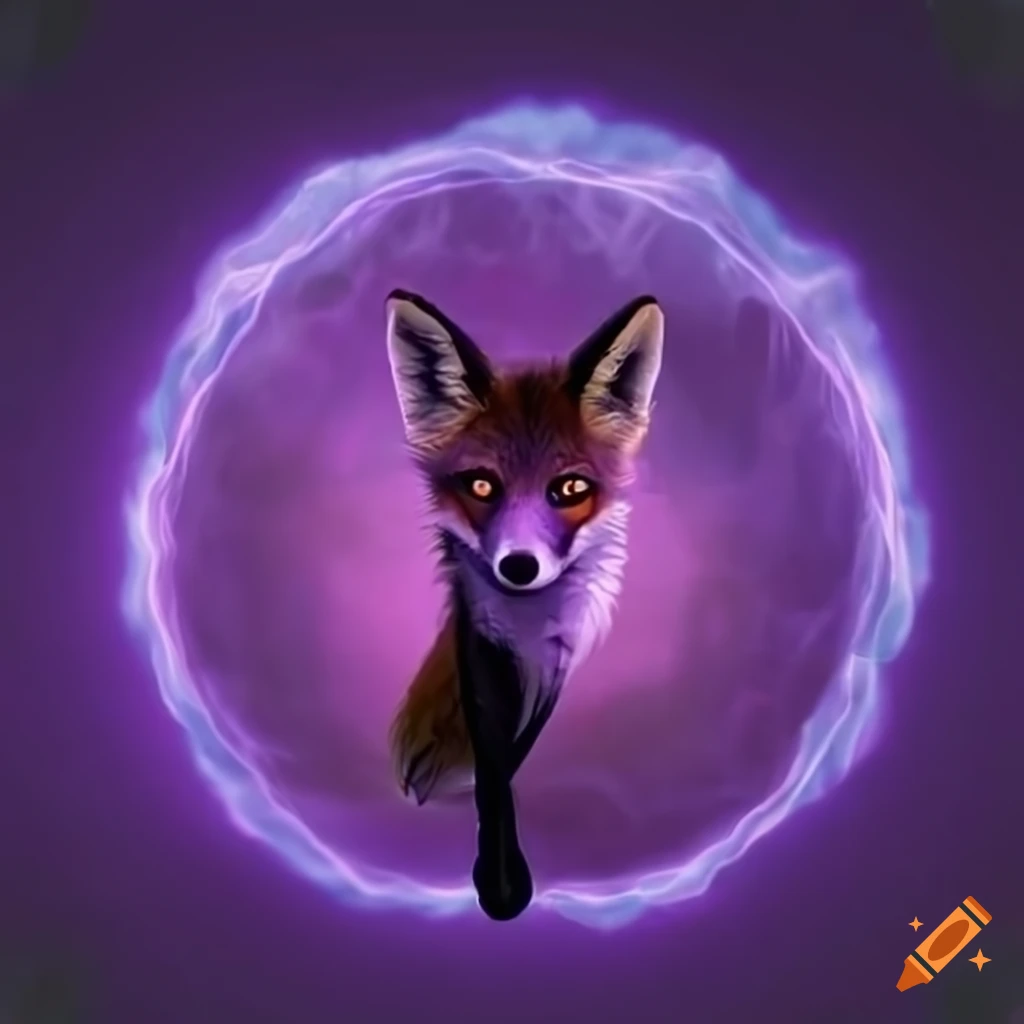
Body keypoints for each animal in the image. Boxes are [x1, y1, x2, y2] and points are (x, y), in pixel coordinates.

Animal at [384, 288, 664, 921]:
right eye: (481, 485)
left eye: (571, 489)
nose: (518, 566)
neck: (527, 625)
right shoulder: (479, 643)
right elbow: (494, 771)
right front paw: (501, 881)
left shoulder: (561, 651)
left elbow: (512, 755)